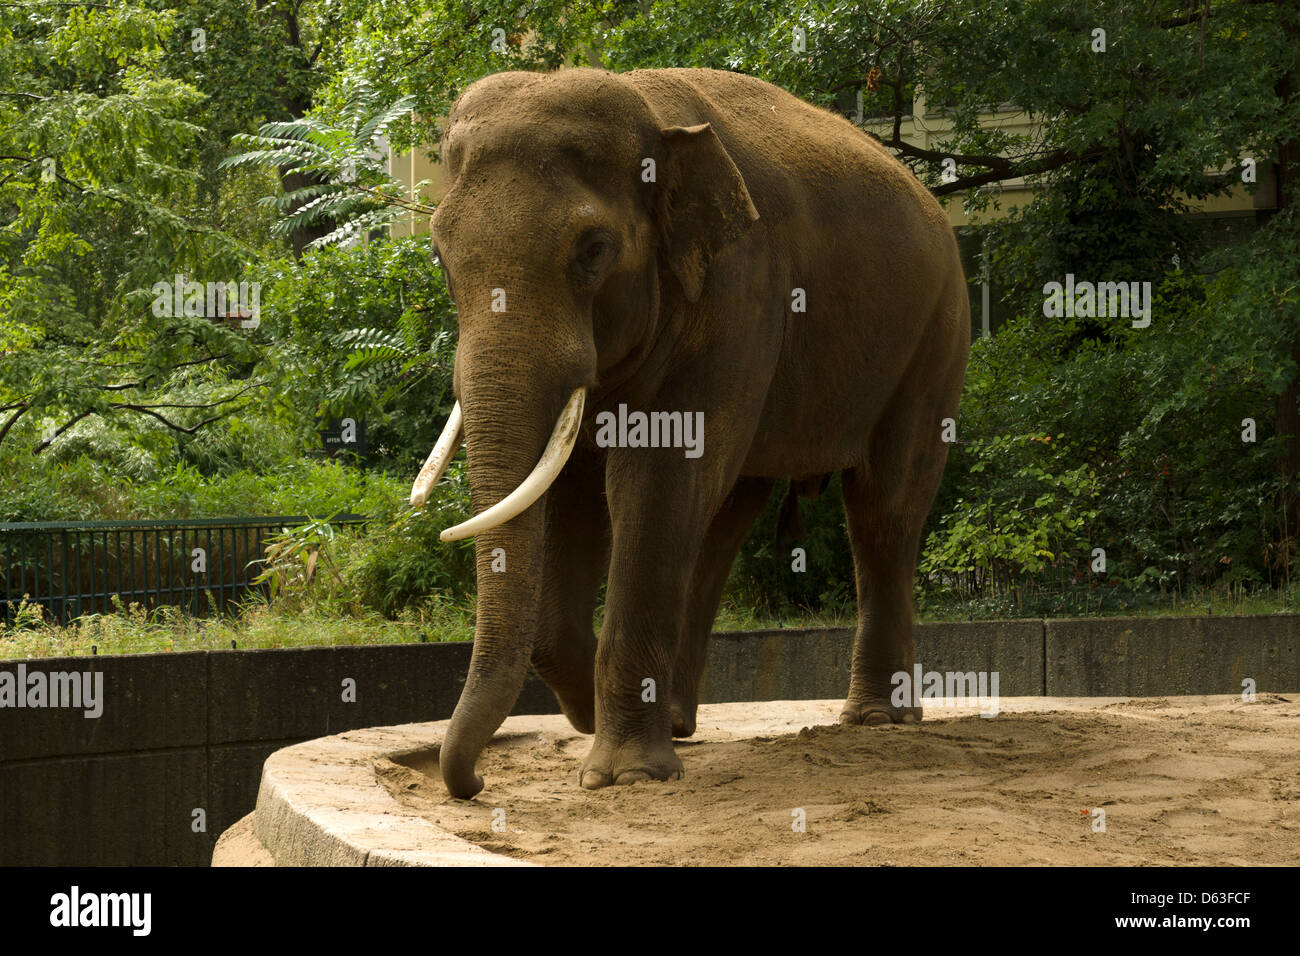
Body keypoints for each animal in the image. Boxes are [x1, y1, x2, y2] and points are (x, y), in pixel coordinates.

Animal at [410, 67, 970, 799]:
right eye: (439, 255)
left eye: (593, 251)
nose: (473, 784)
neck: (650, 115)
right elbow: (572, 493)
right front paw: (604, 726)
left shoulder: (739, 290)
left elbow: (654, 478)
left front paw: (621, 775)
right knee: (727, 515)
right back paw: (679, 720)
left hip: (936, 337)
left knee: (884, 507)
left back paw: (877, 719)